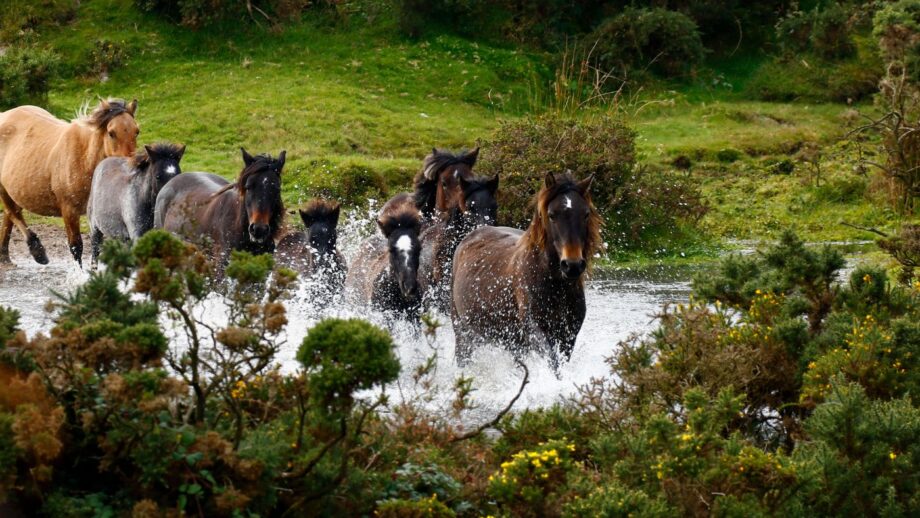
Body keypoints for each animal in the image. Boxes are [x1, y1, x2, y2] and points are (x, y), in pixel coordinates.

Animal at [0, 98, 139, 265]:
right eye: (111, 133)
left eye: (137, 131)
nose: (129, 167)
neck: (84, 159)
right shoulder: (69, 211)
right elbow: (76, 247)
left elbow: (97, 246)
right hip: (3, 188)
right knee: (12, 212)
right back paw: (37, 251)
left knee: (9, 216)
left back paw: (5, 256)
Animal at [450, 172, 601, 373]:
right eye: (552, 215)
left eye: (585, 214)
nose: (572, 265)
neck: (554, 285)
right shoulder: (534, 330)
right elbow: (553, 362)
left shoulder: (568, 337)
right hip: (463, 334)